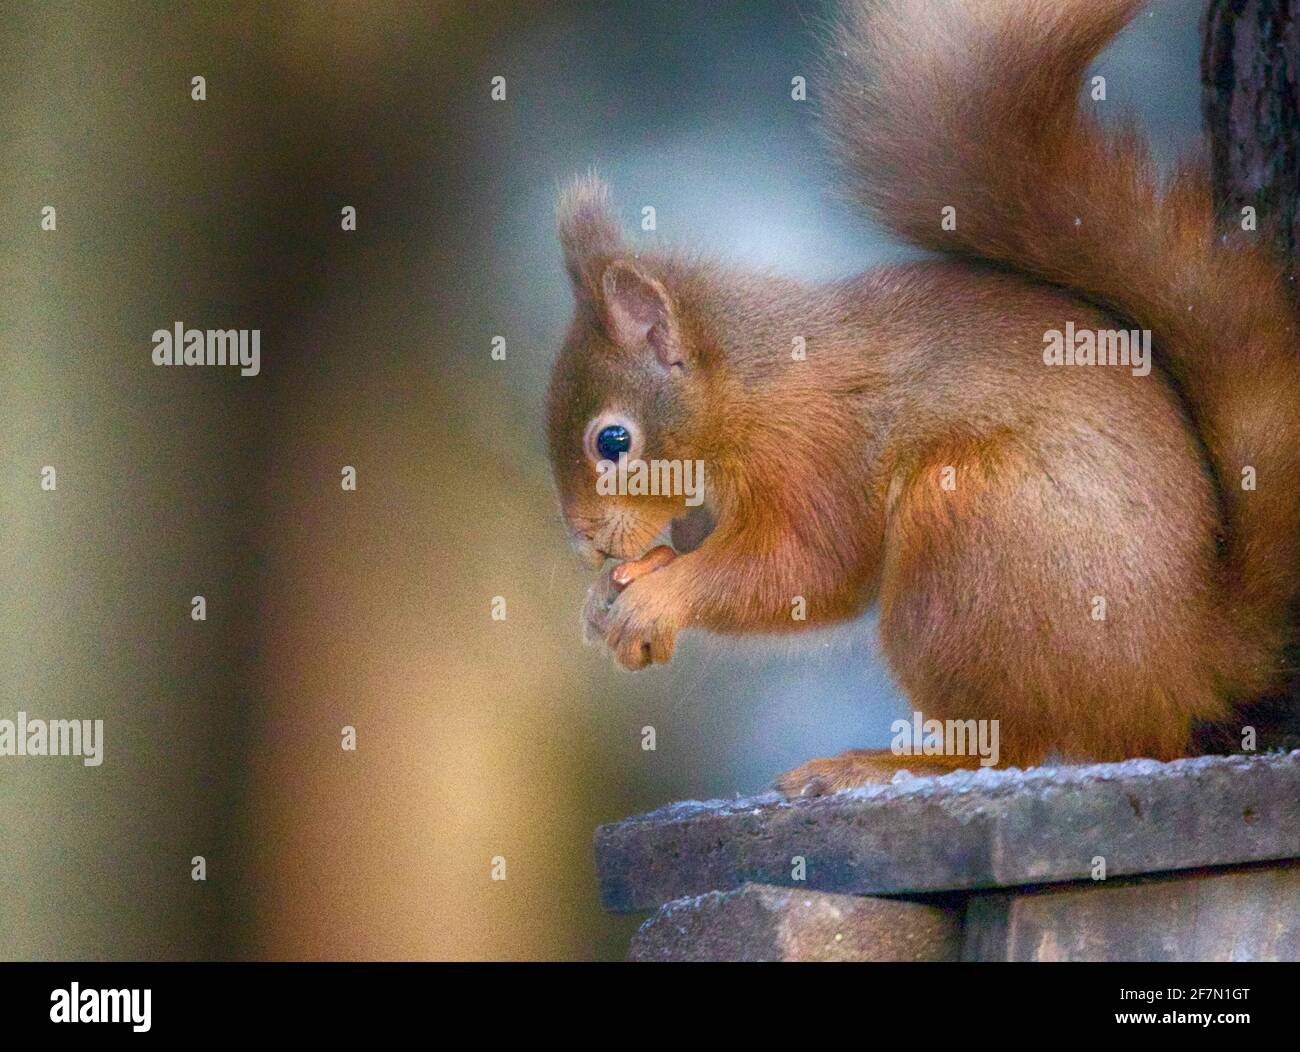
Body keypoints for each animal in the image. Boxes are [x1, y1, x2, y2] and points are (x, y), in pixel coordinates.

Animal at [544, 0, 1300, 796]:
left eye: (614, 441)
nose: (585, 540)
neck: (749, 386)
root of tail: (1186, 660)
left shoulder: (812, 450)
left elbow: (805, 570)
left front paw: (659, 597)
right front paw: (616, 591)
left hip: (969, 538)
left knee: (1003, 748)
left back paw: (876, 765)